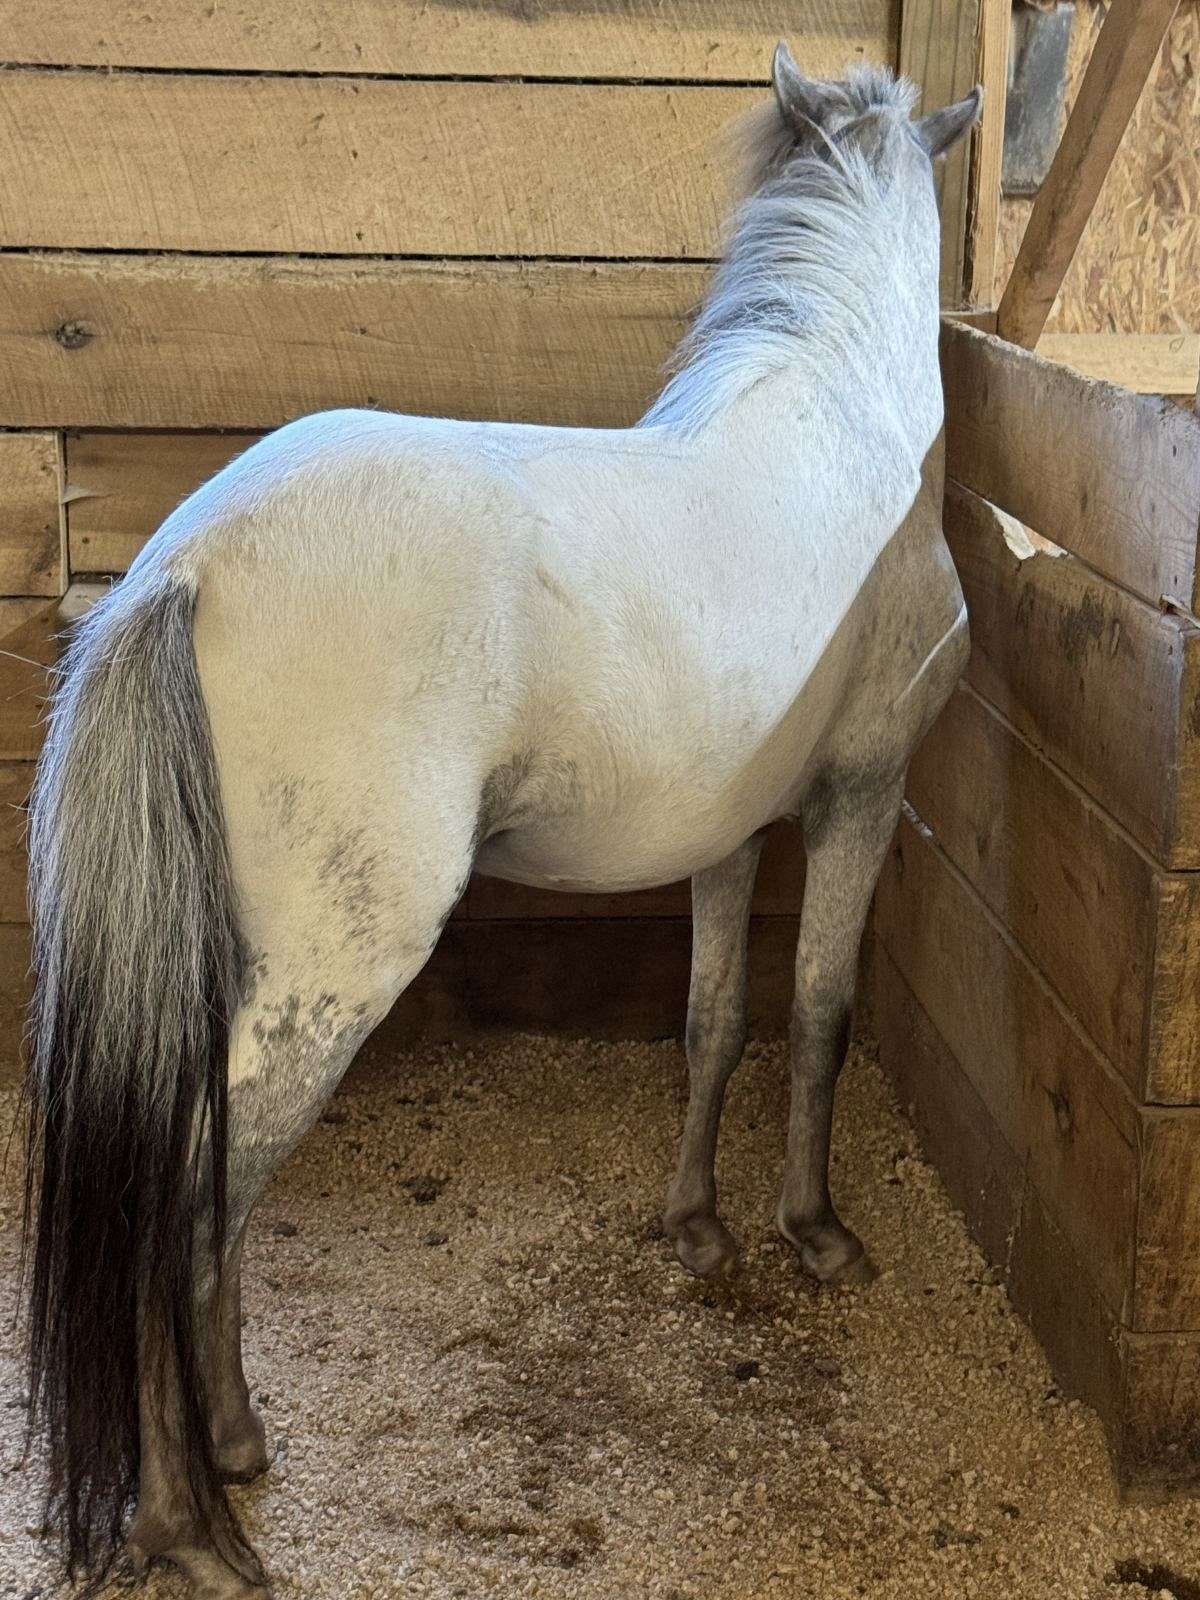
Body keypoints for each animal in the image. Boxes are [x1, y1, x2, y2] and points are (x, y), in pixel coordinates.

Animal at [22, 45, 980, 1597]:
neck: (838, 418)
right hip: (328, 978)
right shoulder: (861, 796)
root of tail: (186, 569)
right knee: (189, 1198)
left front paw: (698, 1227)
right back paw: (188, 1526)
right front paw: (815, 1233)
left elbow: (717, 1015)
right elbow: (822, 1012)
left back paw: (235, 1443)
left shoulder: (734, 833)